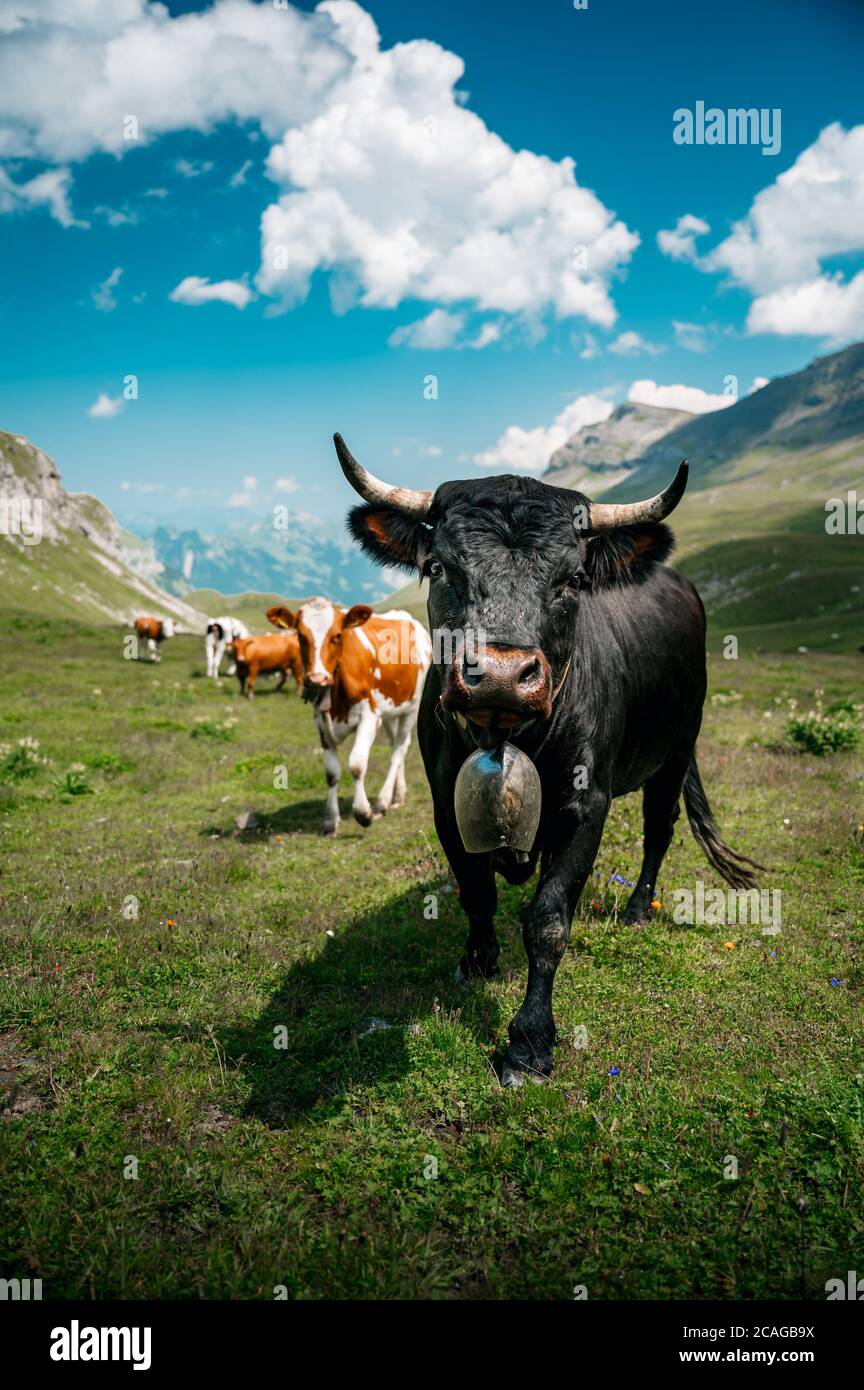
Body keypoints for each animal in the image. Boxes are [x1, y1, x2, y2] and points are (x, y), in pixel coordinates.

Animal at [267, 597, 432, 837]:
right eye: (301, 636)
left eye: (337, 635)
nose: (317, 678)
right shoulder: (320, 721)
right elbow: (331, 773)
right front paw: (330, 821)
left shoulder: (370, 716)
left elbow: (356, 764)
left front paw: (363, 813)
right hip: (391, 711)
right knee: (395, 745)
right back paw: (398, 795)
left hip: (411, 707)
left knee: (400, 749)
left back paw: (382, 802)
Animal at [333, 432, 764, 1085]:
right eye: (439, 567)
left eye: (573, 579)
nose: (501, 675)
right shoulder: (444, 803)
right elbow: (476, 890)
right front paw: (478, 960)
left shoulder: (586, 807)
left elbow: (549, 920)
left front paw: (530, 1042)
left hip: (676, 749)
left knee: (659, 829)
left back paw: (638, 908)